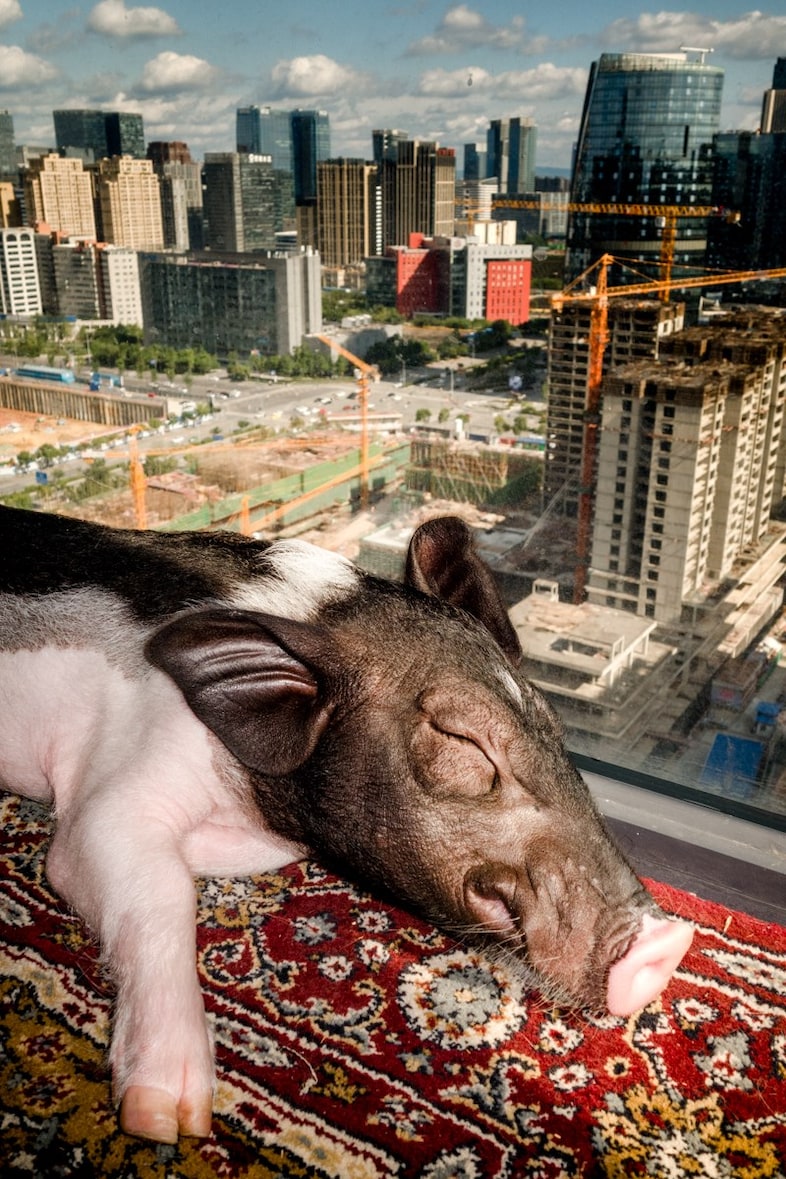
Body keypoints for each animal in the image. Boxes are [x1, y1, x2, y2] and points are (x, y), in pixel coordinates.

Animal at [0, 505, 693, 1144]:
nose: (667, 941)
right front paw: (168, 1121)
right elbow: (142, 878)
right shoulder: (121, 777)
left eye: (554, 731)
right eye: (460, 739)